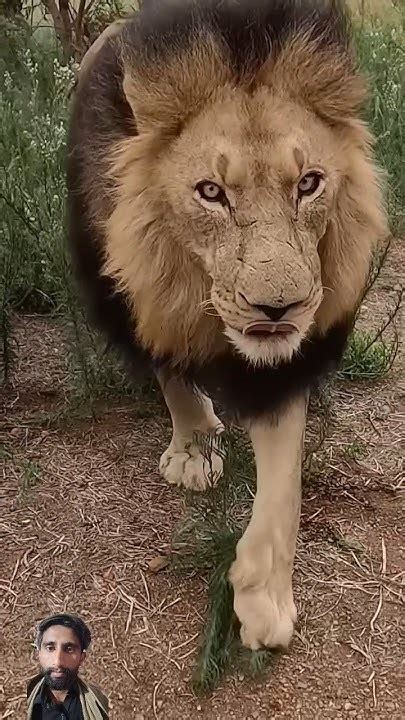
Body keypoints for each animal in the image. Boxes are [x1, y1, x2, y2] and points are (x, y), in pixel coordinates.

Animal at [67, 0, 387, 651]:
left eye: (309, 183)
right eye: (211, 193)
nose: (278, 309)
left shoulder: (286, 363)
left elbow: (284, 485)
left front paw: (265, 599)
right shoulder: (142, 293)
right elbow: (169, 369)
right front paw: (193, 449)